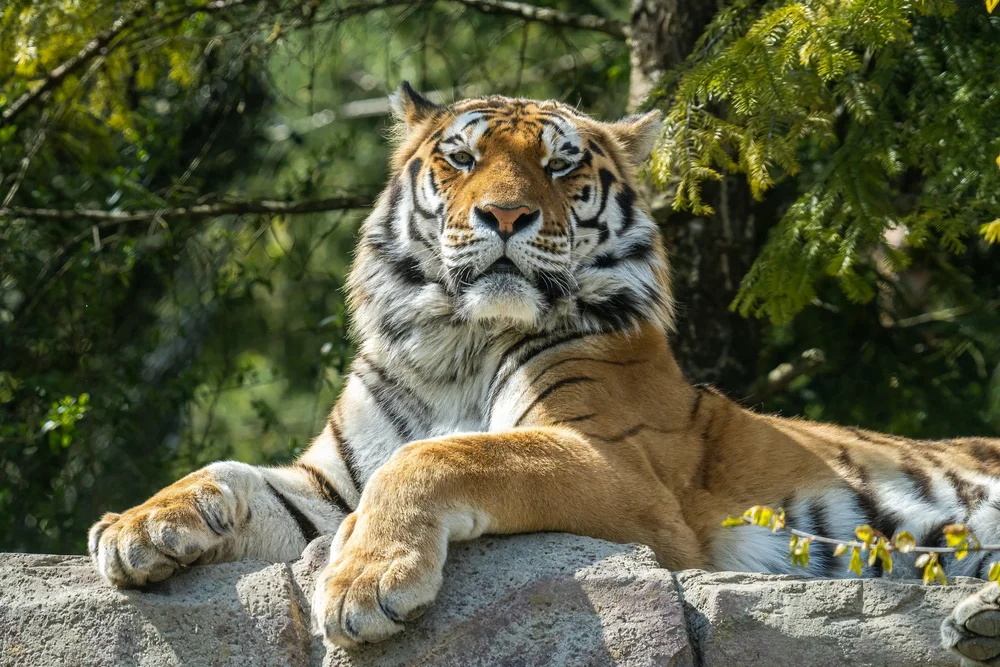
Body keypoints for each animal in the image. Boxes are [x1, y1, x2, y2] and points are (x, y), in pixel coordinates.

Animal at [88, 83, 1000, 664]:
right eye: (460, 158)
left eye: (560, 166)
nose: (505, 214)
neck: (452, 342)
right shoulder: (330, 481)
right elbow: (233, 472)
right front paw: (138, 525)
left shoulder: (618, 467)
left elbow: (439, 455)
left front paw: (365, 583)